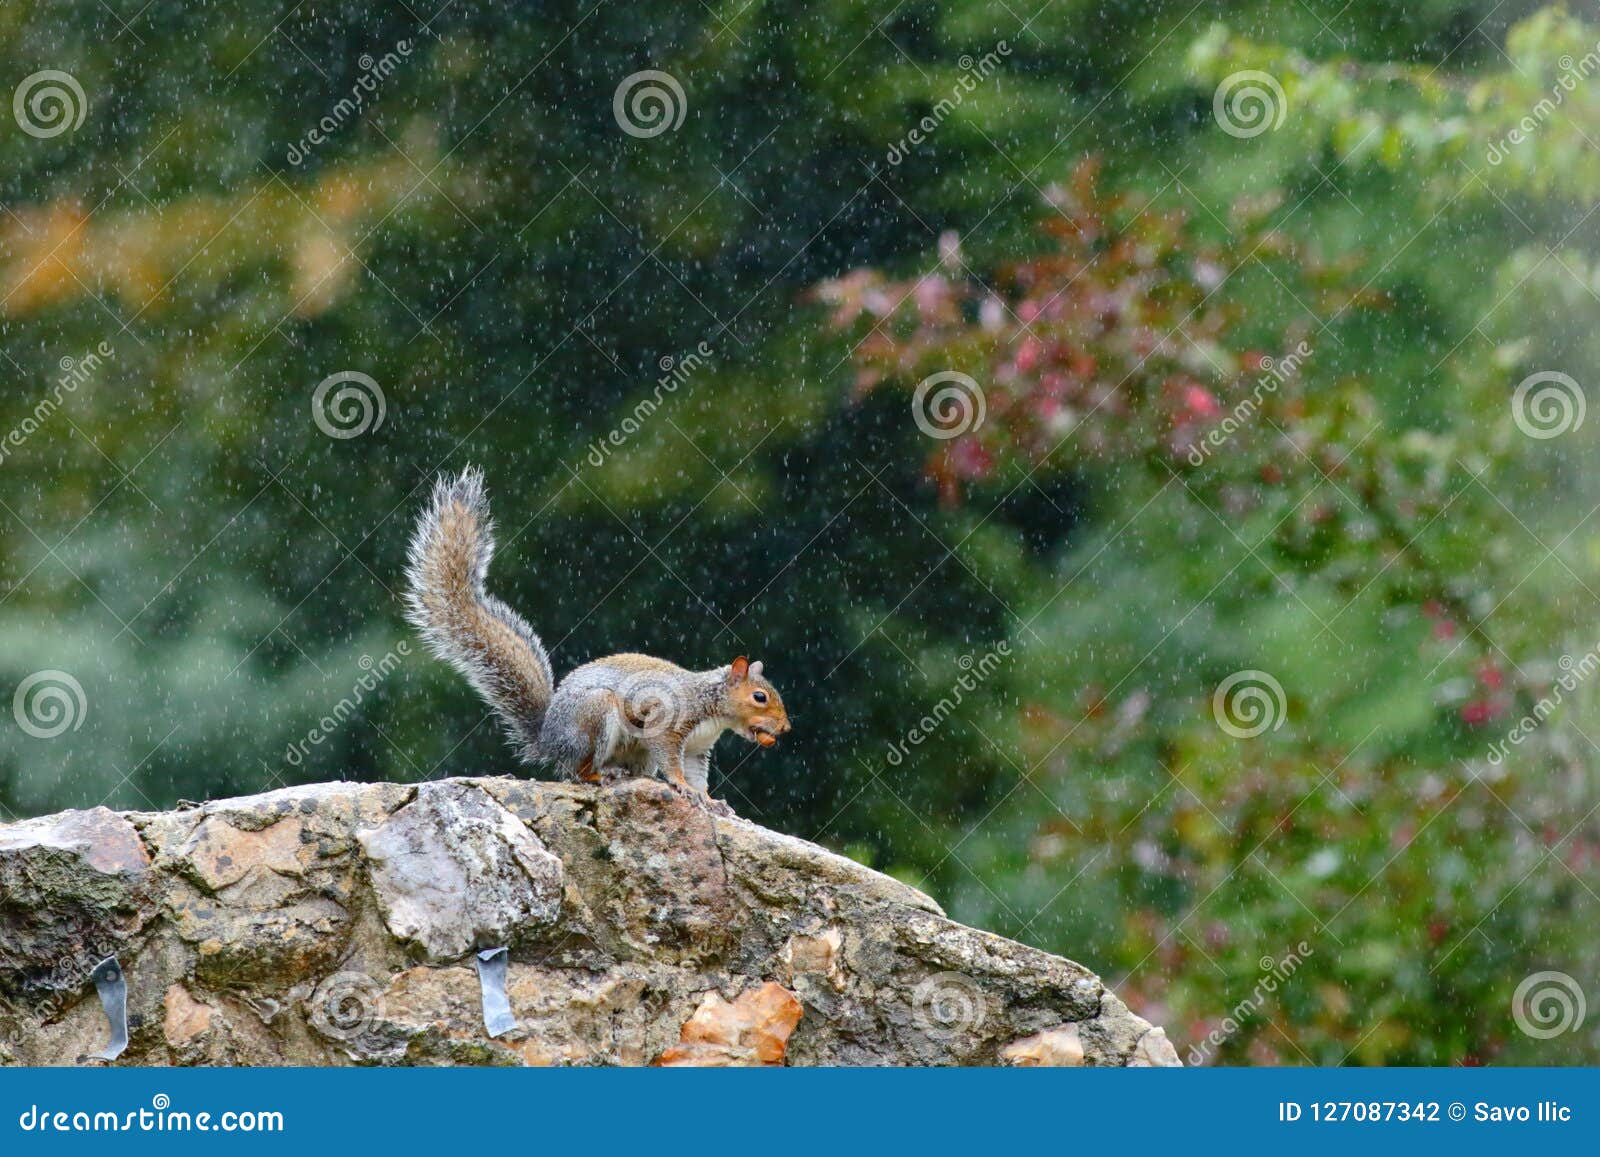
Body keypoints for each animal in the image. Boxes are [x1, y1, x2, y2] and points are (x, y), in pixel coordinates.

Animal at [403, 467, 790, 814]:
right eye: (759, 697)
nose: (786, 728)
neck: (711, 705)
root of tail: (549, 741)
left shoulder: (697, 748)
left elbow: (697, 775)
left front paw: (709, 800)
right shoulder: (667, 724)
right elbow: (673, 761)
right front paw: (682, 786)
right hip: (595, 717)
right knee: (578, 771)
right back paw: (600, 775)